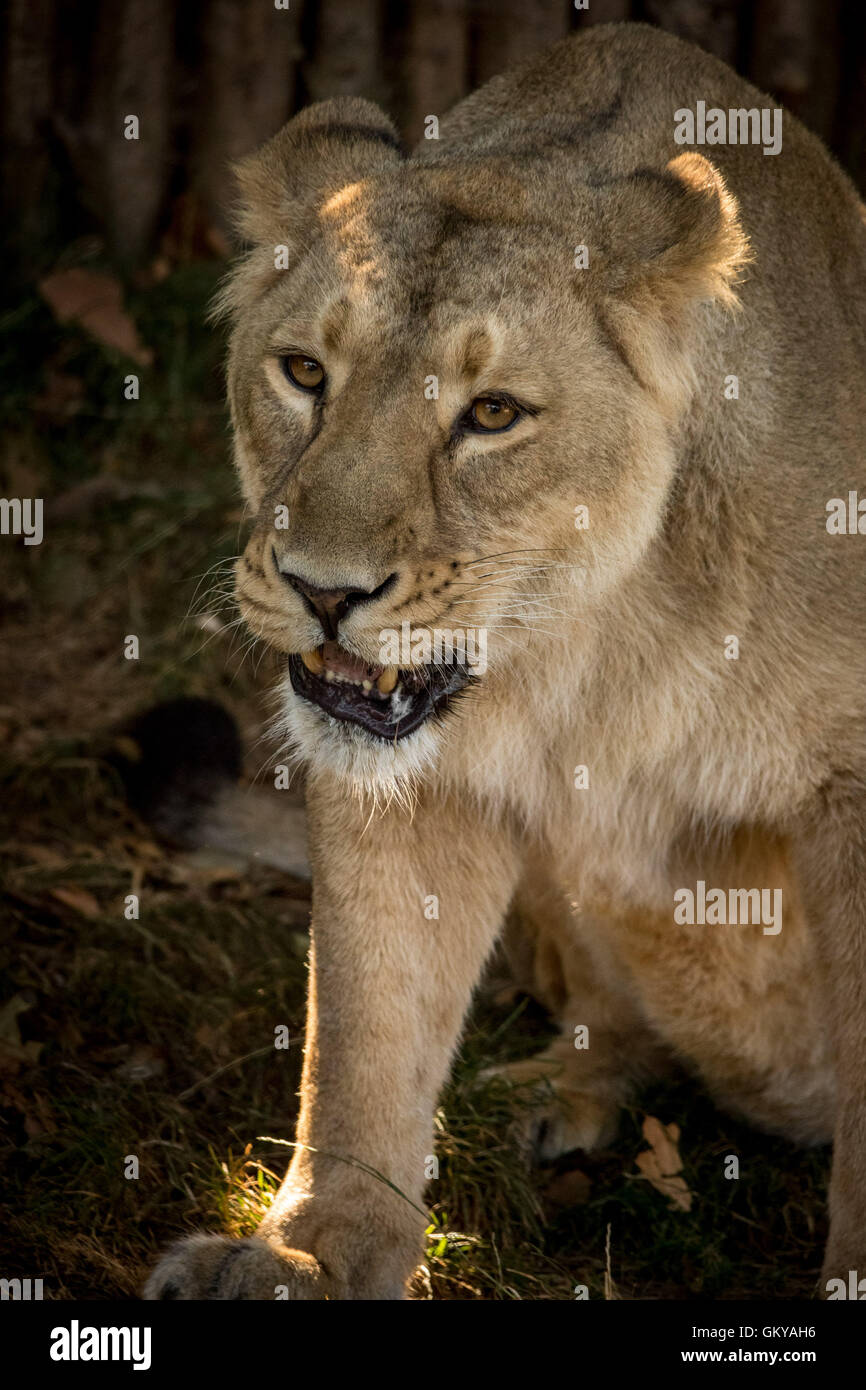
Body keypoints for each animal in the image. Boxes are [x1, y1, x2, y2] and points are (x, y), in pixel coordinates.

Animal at [144, 22, 866, 1299]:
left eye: (490, 415)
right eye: (303, 373)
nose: (324, 591)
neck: (595, 643)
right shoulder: (418, 777)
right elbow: (368, 1028)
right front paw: (311, 1254)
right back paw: (555, 1098)